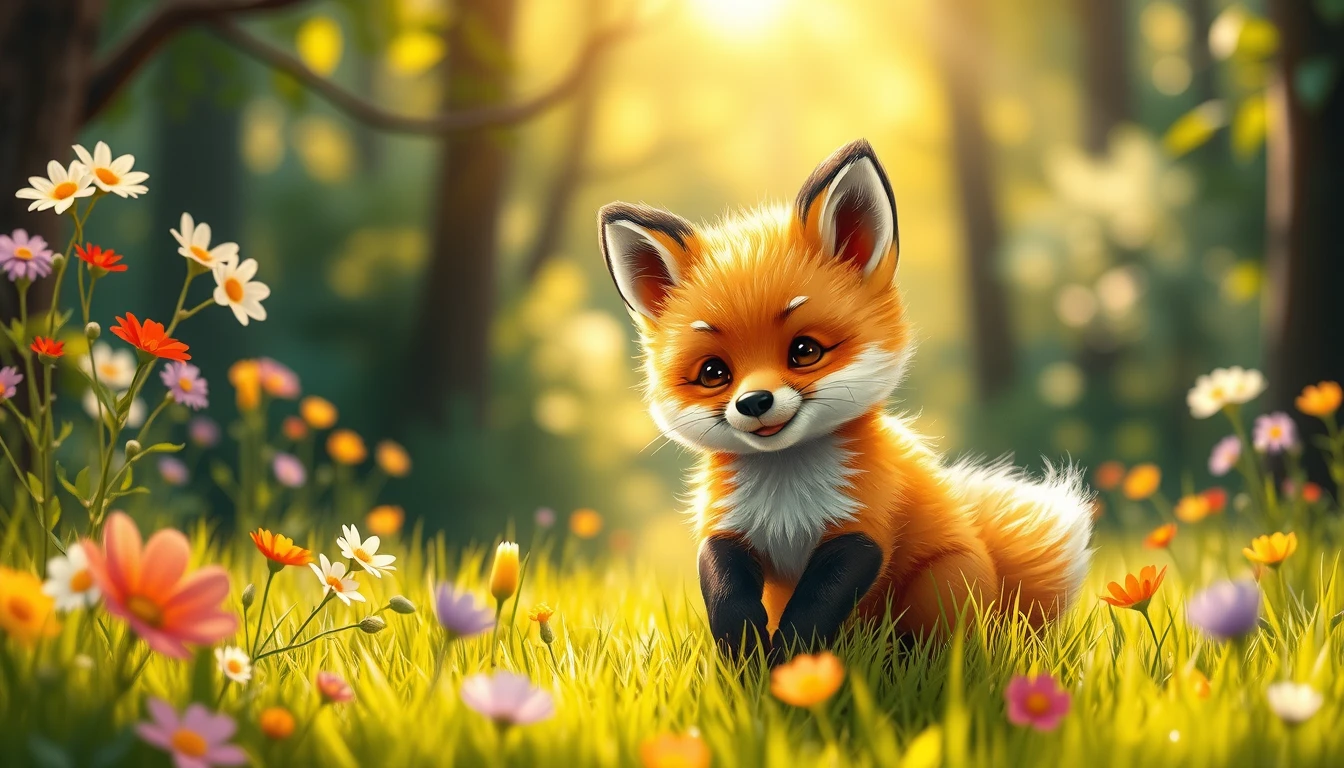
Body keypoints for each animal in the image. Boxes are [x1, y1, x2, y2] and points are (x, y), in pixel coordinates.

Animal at [596, 139, 1094, 660]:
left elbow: (817, 604)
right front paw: (748, 659)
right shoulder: (727, 530)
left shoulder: (862, 526)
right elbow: (727, 595)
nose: (754, 402)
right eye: (714, 373)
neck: (786, 494)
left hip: (943, 582)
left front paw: (790, 663)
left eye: (805, 351)